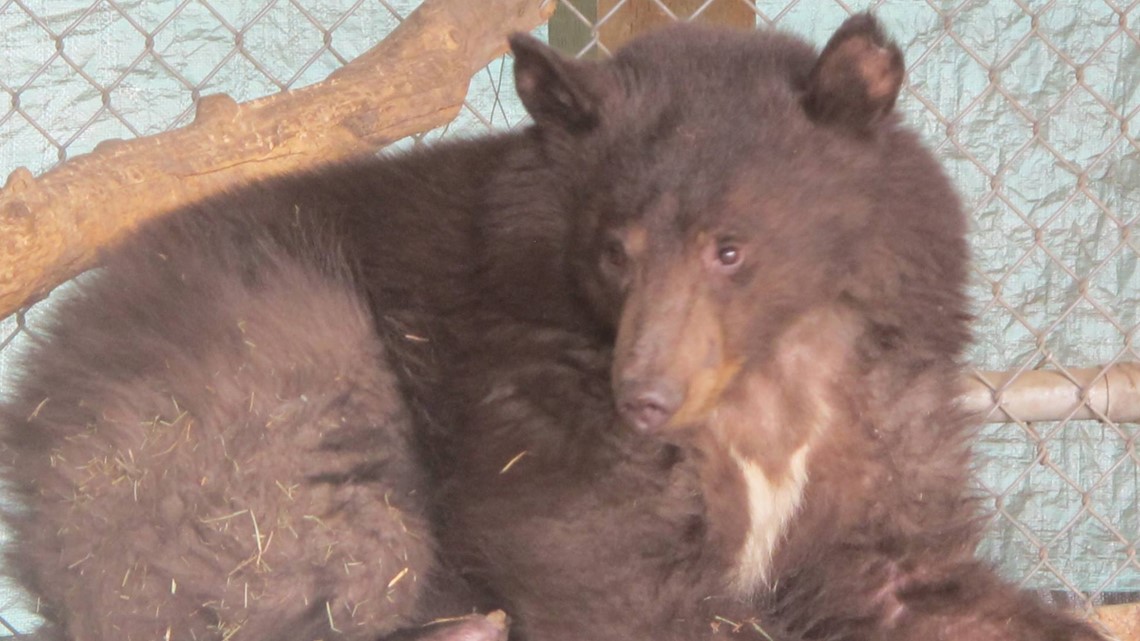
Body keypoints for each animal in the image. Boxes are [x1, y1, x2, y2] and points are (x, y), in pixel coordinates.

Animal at [0, 12, 1107, 641]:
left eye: (730, 247)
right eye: (614, 248)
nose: (642, 398)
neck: (770, 375)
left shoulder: (882, 421)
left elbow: (919, 575)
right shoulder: (536, 419)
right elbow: (611, 582)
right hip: (253, 379)